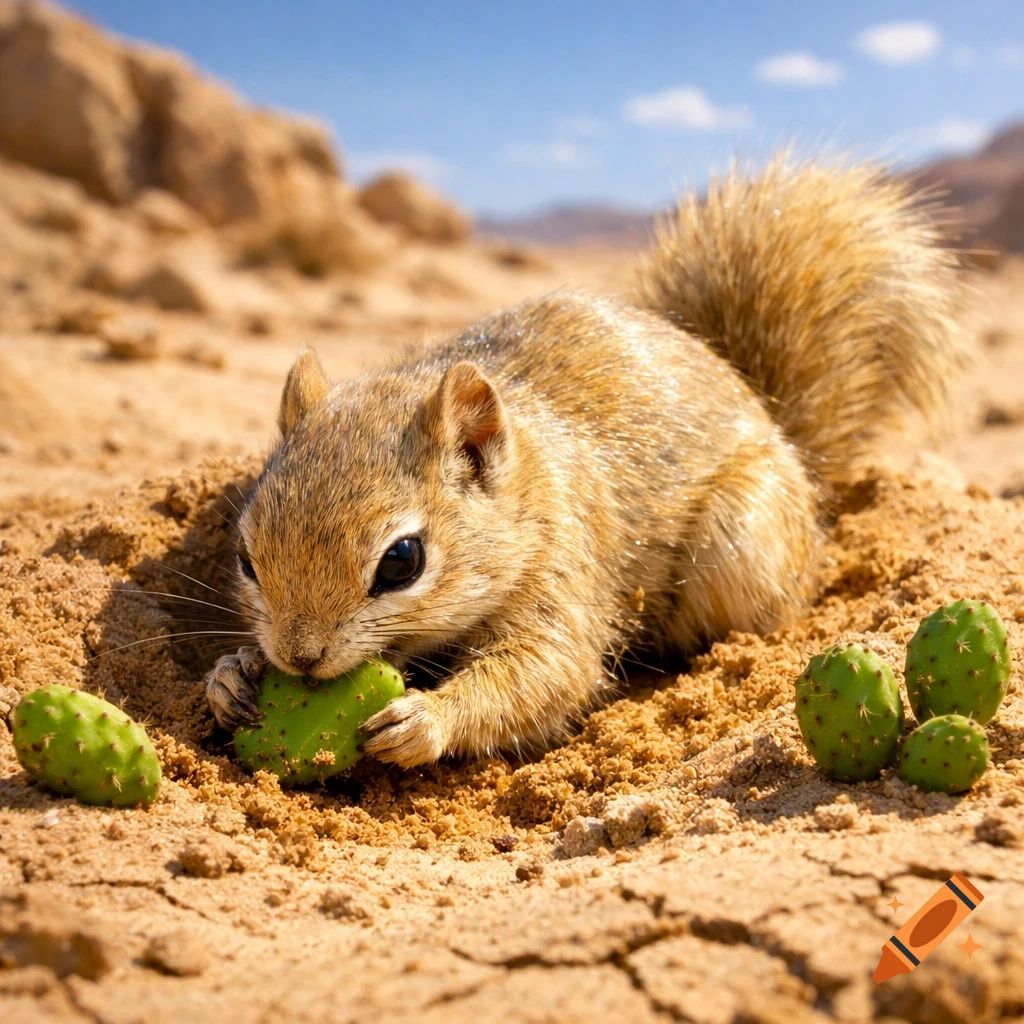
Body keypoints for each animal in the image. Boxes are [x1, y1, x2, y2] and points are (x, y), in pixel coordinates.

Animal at [205, 152, 965, 768]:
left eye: (402, 562)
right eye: (246, 558)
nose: (300, 660)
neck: (528, 481)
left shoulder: (563, 566)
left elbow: (548, 670)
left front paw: (427, 719)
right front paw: (229, 674)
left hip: (741, 544)